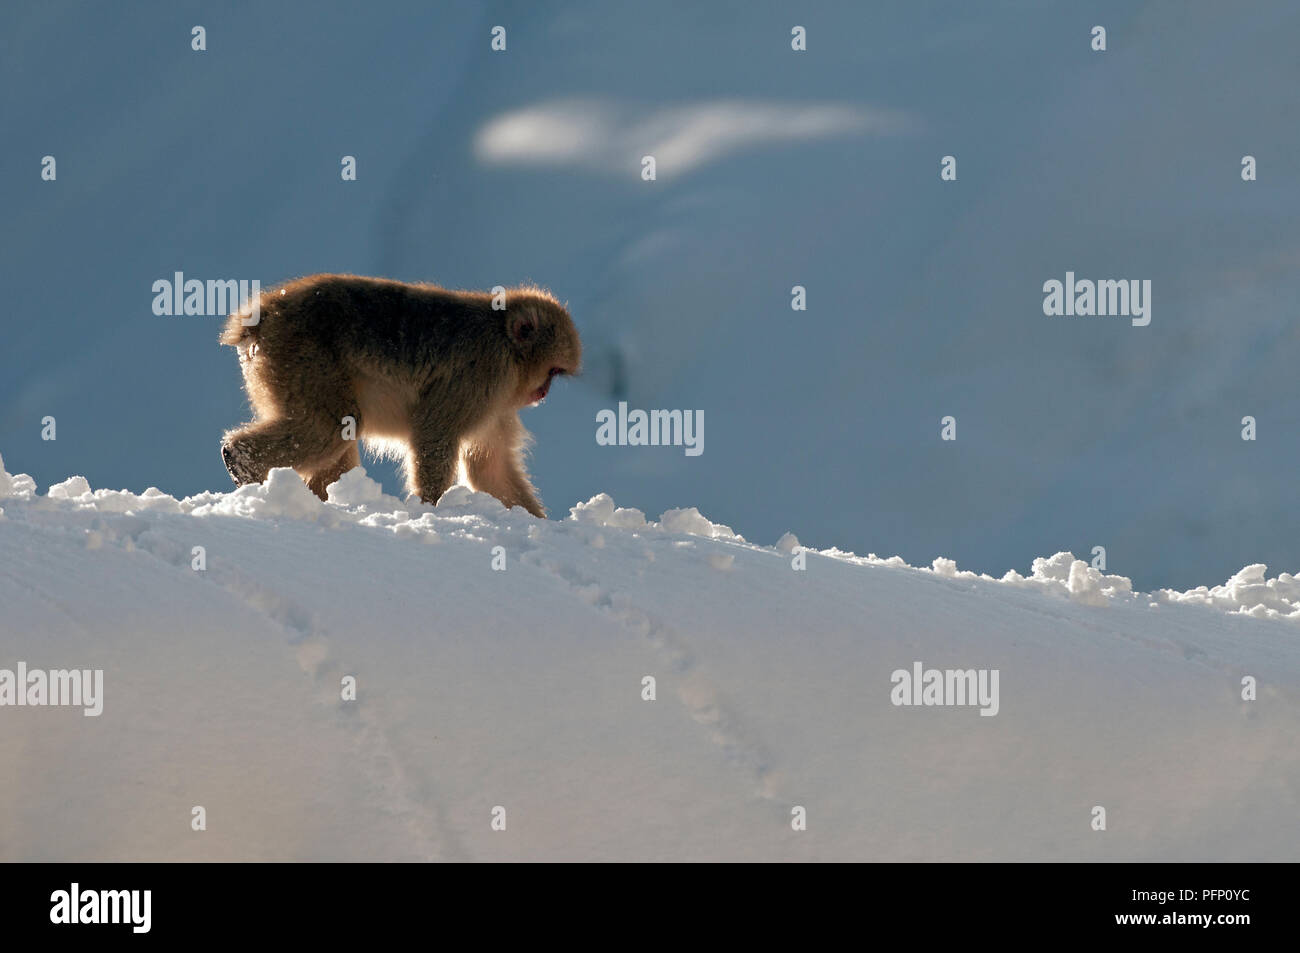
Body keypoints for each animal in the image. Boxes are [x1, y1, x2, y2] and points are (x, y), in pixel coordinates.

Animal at [218, 274, 581, 517]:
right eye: (551, 372)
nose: (543, 392)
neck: (504, 339)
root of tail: (264, 312)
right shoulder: (482, 374)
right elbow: (434, 433)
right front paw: (430, 508)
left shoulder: (498, 404)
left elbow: (489, 467)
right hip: (300, 357)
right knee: (334, 427)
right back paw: (240, 459)